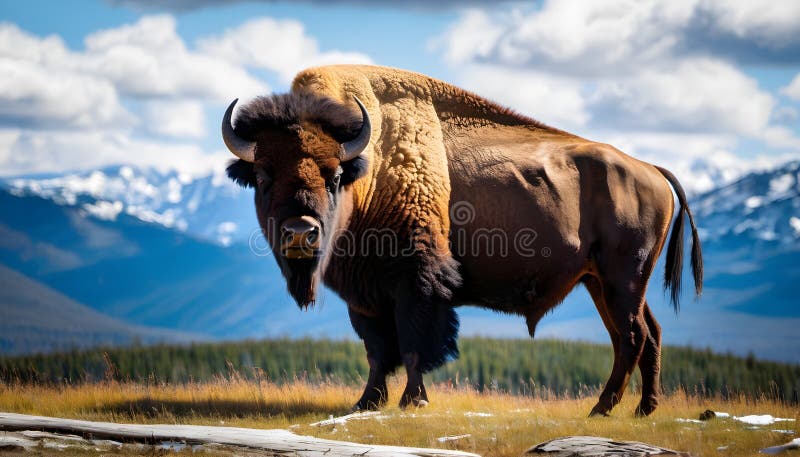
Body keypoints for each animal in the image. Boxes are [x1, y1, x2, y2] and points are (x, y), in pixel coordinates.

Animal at [223, 65, 702, 416]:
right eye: (263, 176)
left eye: (335, 175)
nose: (300, 232)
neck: (371, 169)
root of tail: (651, 170)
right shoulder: (364, 296)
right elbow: (377, 350)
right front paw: (366, 403)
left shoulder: (417, 281)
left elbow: (413, 343)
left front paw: (411, 401)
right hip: (602, 283)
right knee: (645, 334)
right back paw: (642, 409)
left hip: (622, 280)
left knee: (633, 335)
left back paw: (602, 409)